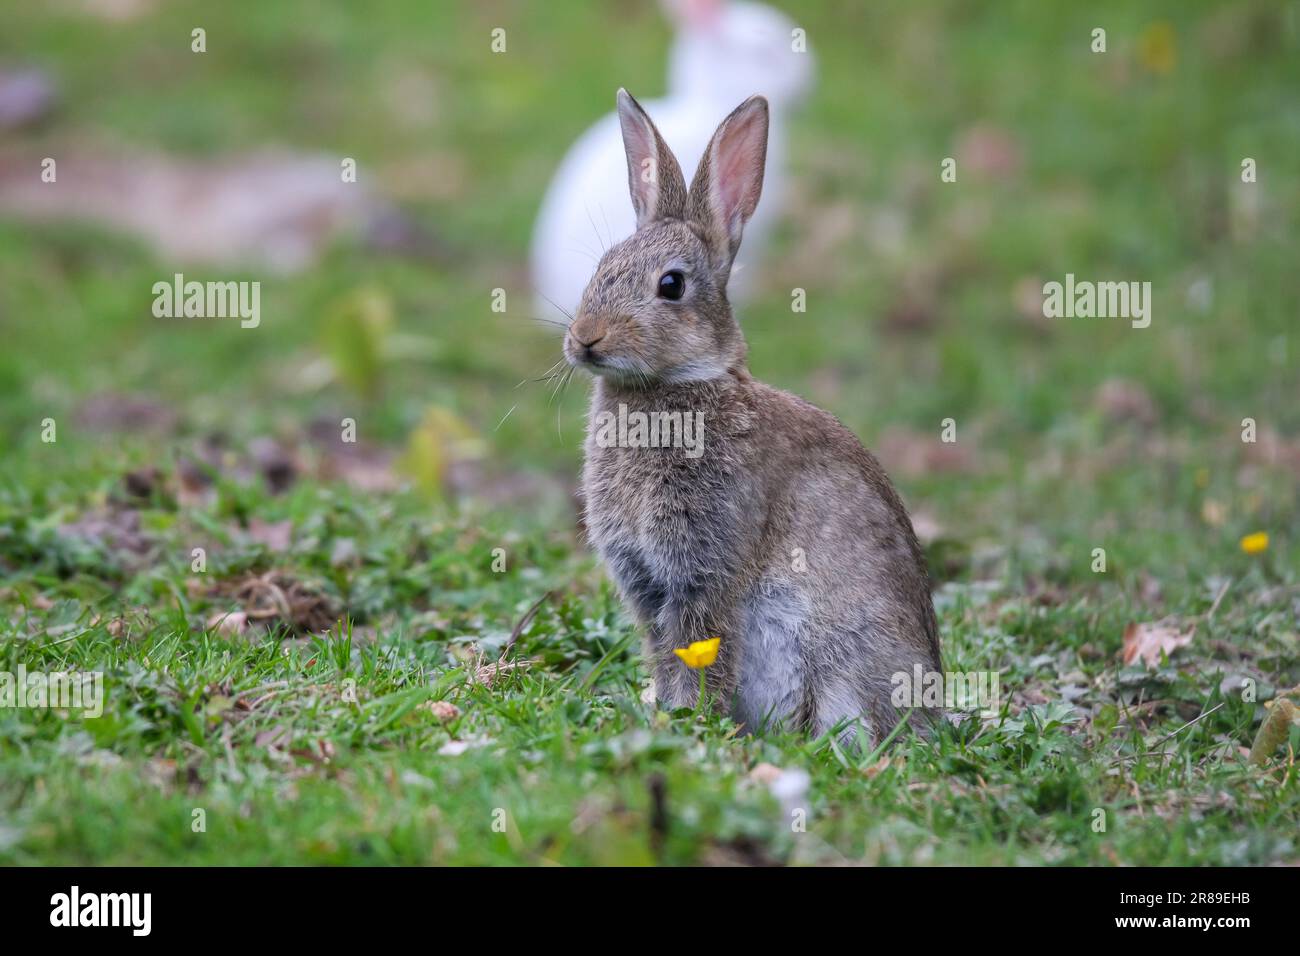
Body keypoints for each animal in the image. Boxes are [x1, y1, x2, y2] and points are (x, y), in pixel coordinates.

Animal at [564, 89, 942, 749]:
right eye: (603, 265)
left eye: (671, 285)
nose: (585, 338)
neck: (674, 386)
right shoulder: (647, 584)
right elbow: (664, 652)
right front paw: (664, 711)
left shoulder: (706, 569)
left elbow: (702, 649)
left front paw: (688, 720)